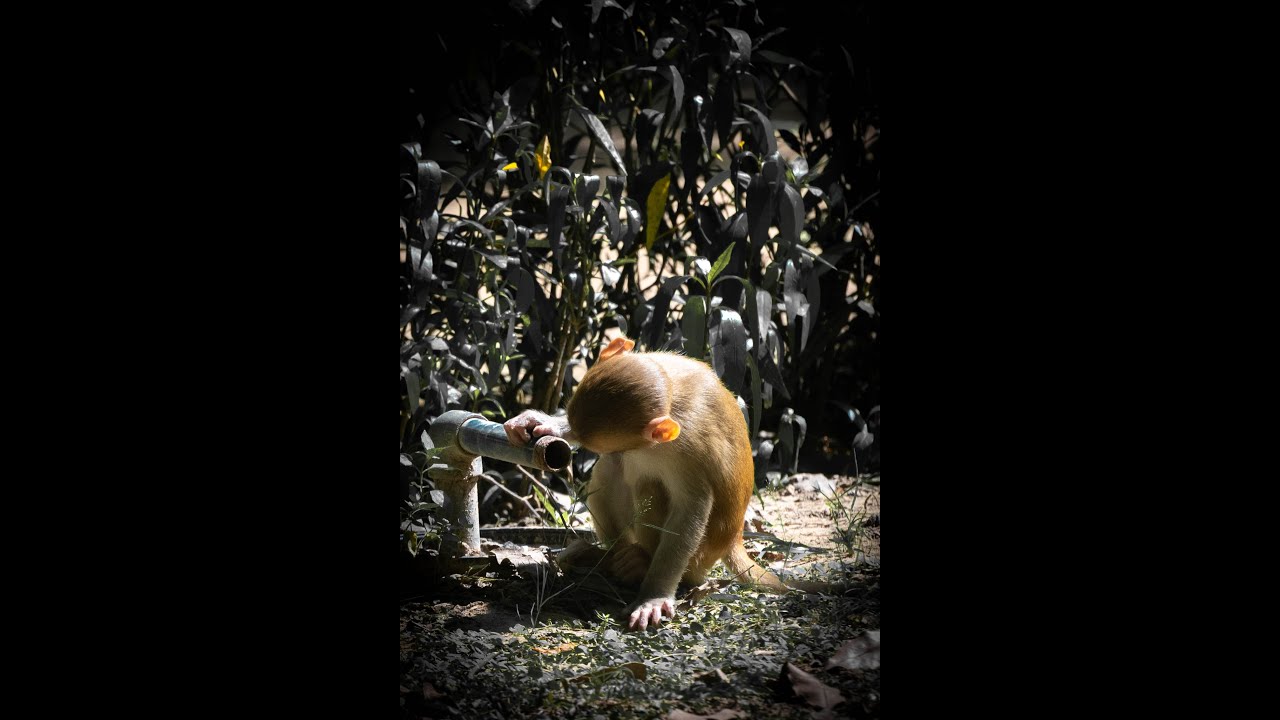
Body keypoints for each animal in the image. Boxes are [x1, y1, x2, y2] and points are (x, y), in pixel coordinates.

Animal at [504, 336, 787, 631]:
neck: (674, 396)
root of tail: (733, 539)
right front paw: (545, 422)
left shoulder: (689, 448)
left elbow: (690, 509)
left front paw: (654, 596)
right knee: (612, 466)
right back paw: (605, 558)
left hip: (699, 561)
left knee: (648, 486)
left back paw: (640, 563)